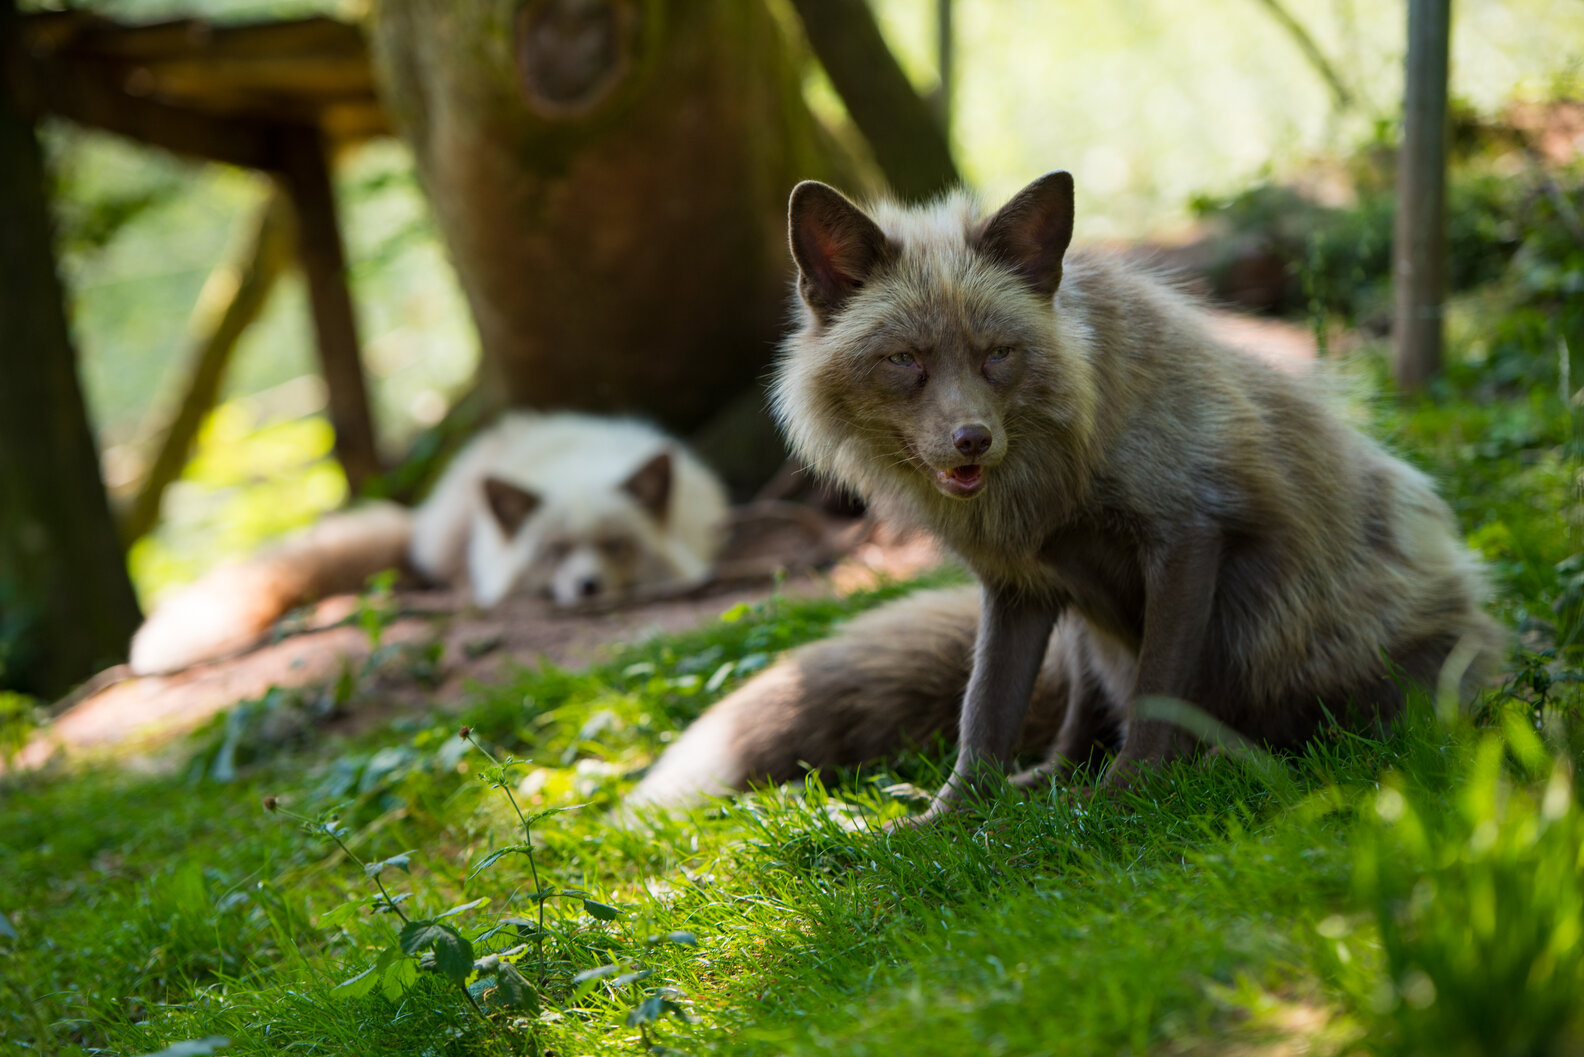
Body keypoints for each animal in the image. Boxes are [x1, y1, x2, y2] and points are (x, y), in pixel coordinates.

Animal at [629, 172, 1505, 819]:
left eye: (998, 354)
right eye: (906, 360)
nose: (971, 440)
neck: (1053, 489)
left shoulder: (1187, 534)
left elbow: (1157, 695)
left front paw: (1134, 798)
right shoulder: (1020, 584)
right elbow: (983, 715)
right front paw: (950, 820)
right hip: (1086, 632)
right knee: (1074, 730)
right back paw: (1042, 789)